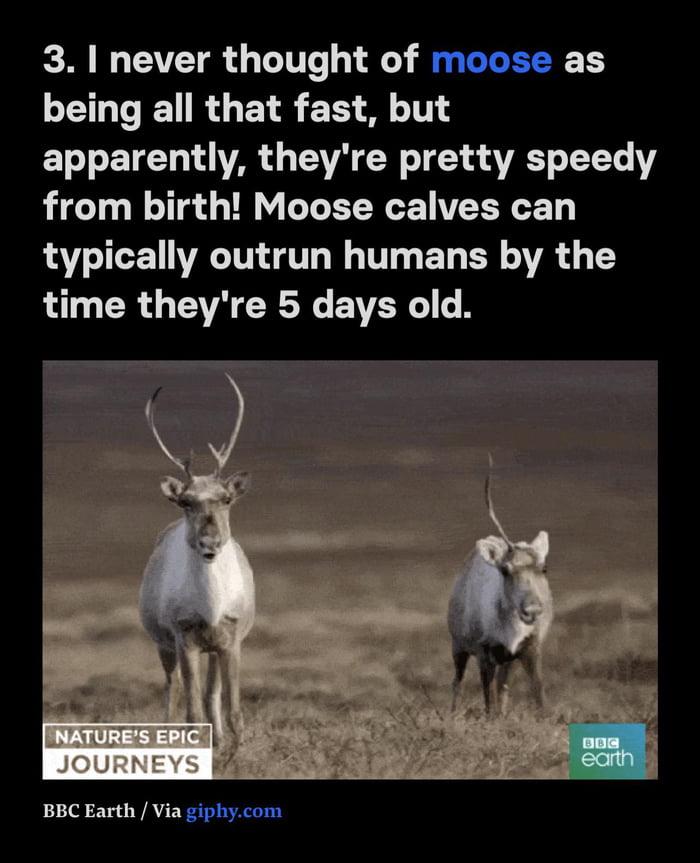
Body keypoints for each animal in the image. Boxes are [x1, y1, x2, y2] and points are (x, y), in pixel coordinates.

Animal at [139, 373, 255, 750]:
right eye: (185, 501)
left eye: (227, 498)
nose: (209, 543)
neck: (211, 607)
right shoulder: (184, 639)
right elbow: (191, 711)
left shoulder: (230, 641)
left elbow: (232, 709)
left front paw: (236, 751)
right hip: (165, 646)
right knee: (172, 690)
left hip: (213, 651)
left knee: (211, 694)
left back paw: (217, 741)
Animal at [448, 455, 553, 716]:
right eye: (505, 570)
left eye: (543, 568)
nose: (532, 610)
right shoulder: (484, 652)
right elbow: (488, 702)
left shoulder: (528, 648)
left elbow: (538, 693)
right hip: (458, 646)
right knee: (457, 681)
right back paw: (452, 713)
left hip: (507, 660)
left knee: (503, 687)